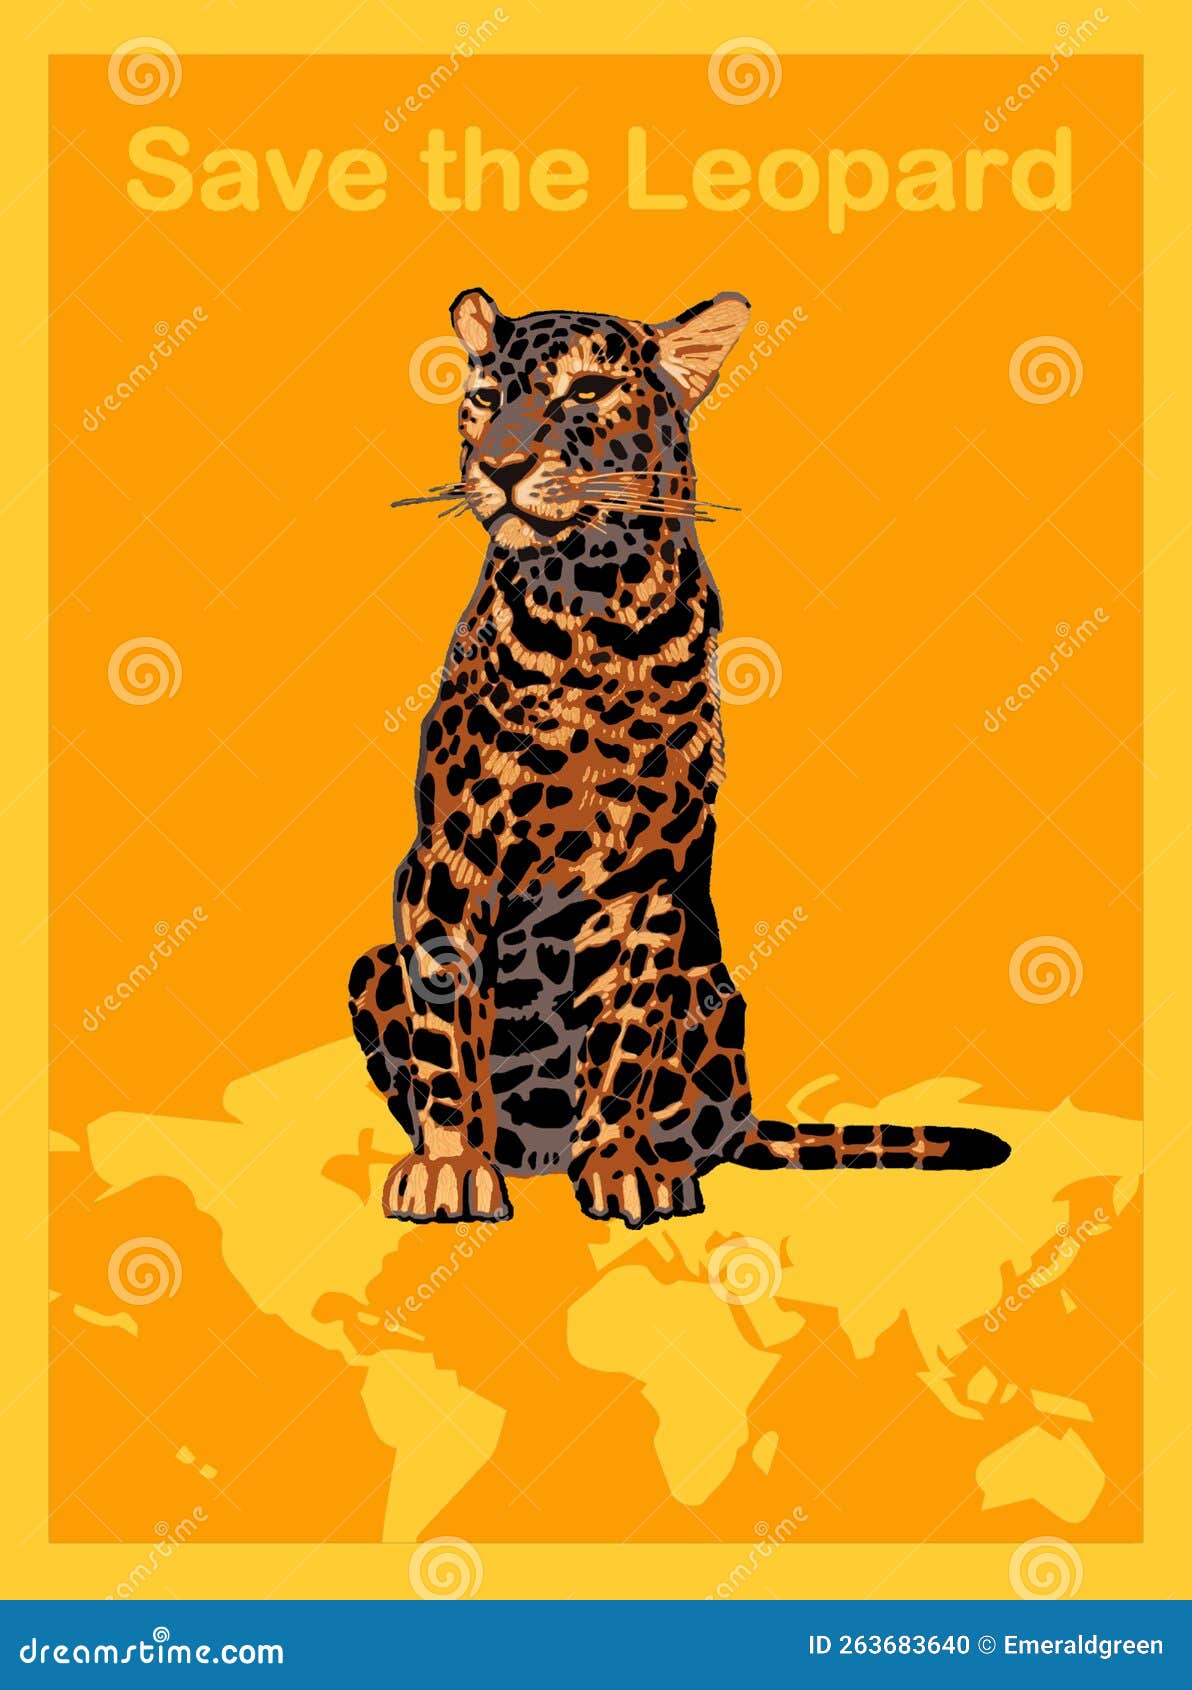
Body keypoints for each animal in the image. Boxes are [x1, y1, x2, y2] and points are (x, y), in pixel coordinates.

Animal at [348, 286, 1010, 1229]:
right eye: (481, 399)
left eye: (586, 391)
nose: (499, 467)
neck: (589, 606)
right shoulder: (448, 863)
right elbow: (446, 1032)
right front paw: (449, 1166)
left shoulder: (649, 883)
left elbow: (626, 1039)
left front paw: (623, 1165)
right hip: (373, 959)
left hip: (711, 981)